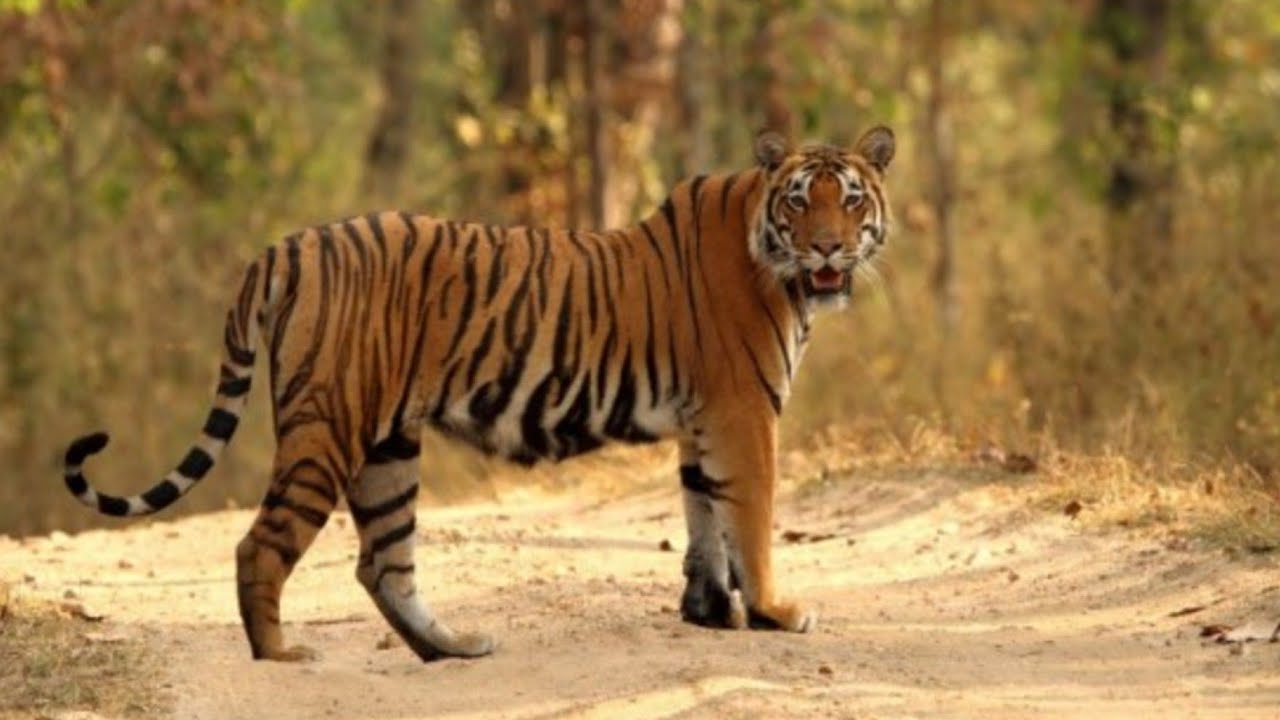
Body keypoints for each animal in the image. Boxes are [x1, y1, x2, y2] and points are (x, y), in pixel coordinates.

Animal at [62, 126, 895, 662]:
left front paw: (711, 614)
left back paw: (451, 649)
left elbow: (704, 519)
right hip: (327, 427)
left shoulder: (703, 423)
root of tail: (286, 245)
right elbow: (747, 519)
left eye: (852, 200)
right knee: (262, 544)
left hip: (387, 446)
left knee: (383, 564)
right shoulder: (742, 413)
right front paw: (776, 613)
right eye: (800, 202)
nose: (827, 247)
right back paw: (280, 654)